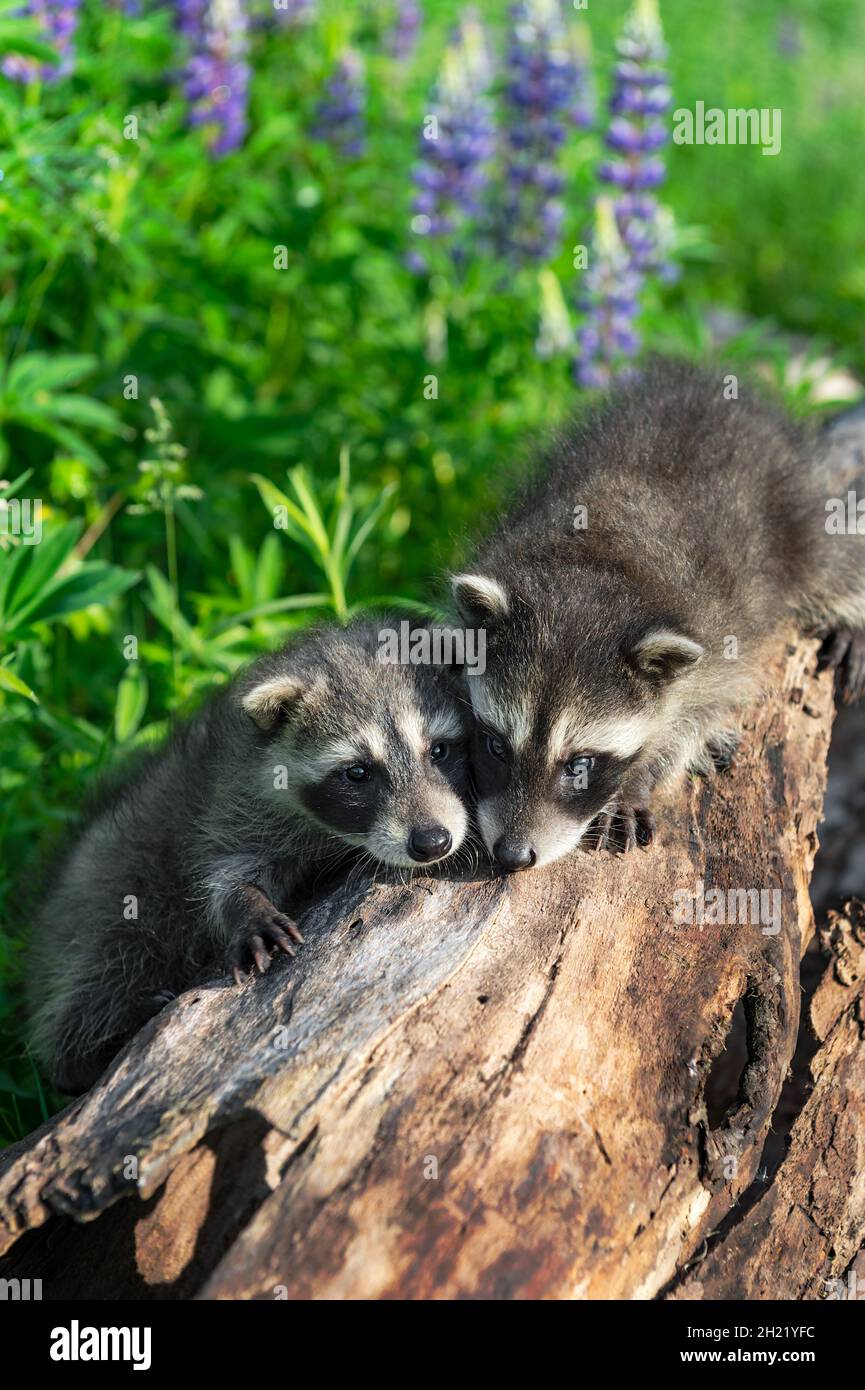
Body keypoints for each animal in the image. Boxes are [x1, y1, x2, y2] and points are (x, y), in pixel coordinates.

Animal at [28, 620, 471, 1093]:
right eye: (357, 772)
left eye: (438, 750)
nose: (432, 841)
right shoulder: (228, 807)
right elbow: (225, 876)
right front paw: (249, 908)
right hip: (103, 907)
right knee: (99, 979)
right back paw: (85, 1055)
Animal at [451, 360, 865, 871]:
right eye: (496, 746)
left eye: (580, 765)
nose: (511, 855)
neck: (595, 559)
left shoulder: (718, 637)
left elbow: (696, 717)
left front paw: (636, 781)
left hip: (790, 515)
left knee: (832, 556)